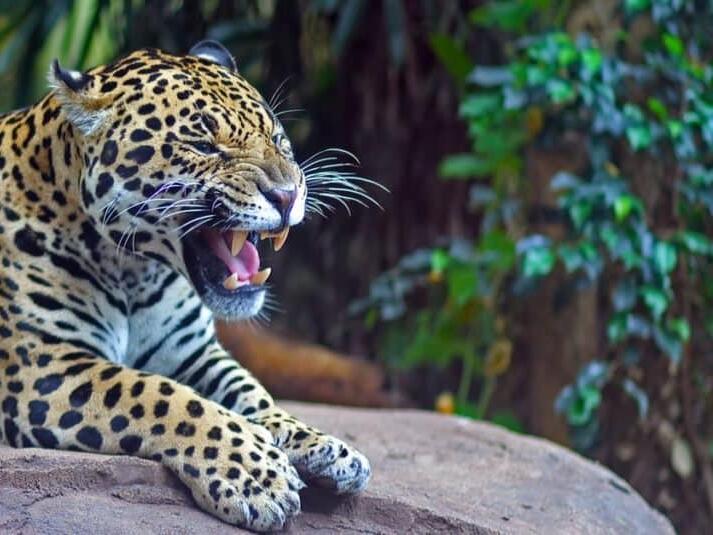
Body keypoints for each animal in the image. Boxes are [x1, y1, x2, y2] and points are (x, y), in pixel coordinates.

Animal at [0, 40, 371, 532]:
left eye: (277, 138)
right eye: (204, 145)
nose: (288, 195)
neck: (133, 274)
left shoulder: (193, 351)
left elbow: (250, 391)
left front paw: (321, 445)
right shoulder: (40, 365)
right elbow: (161, 396)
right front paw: (256, 474)